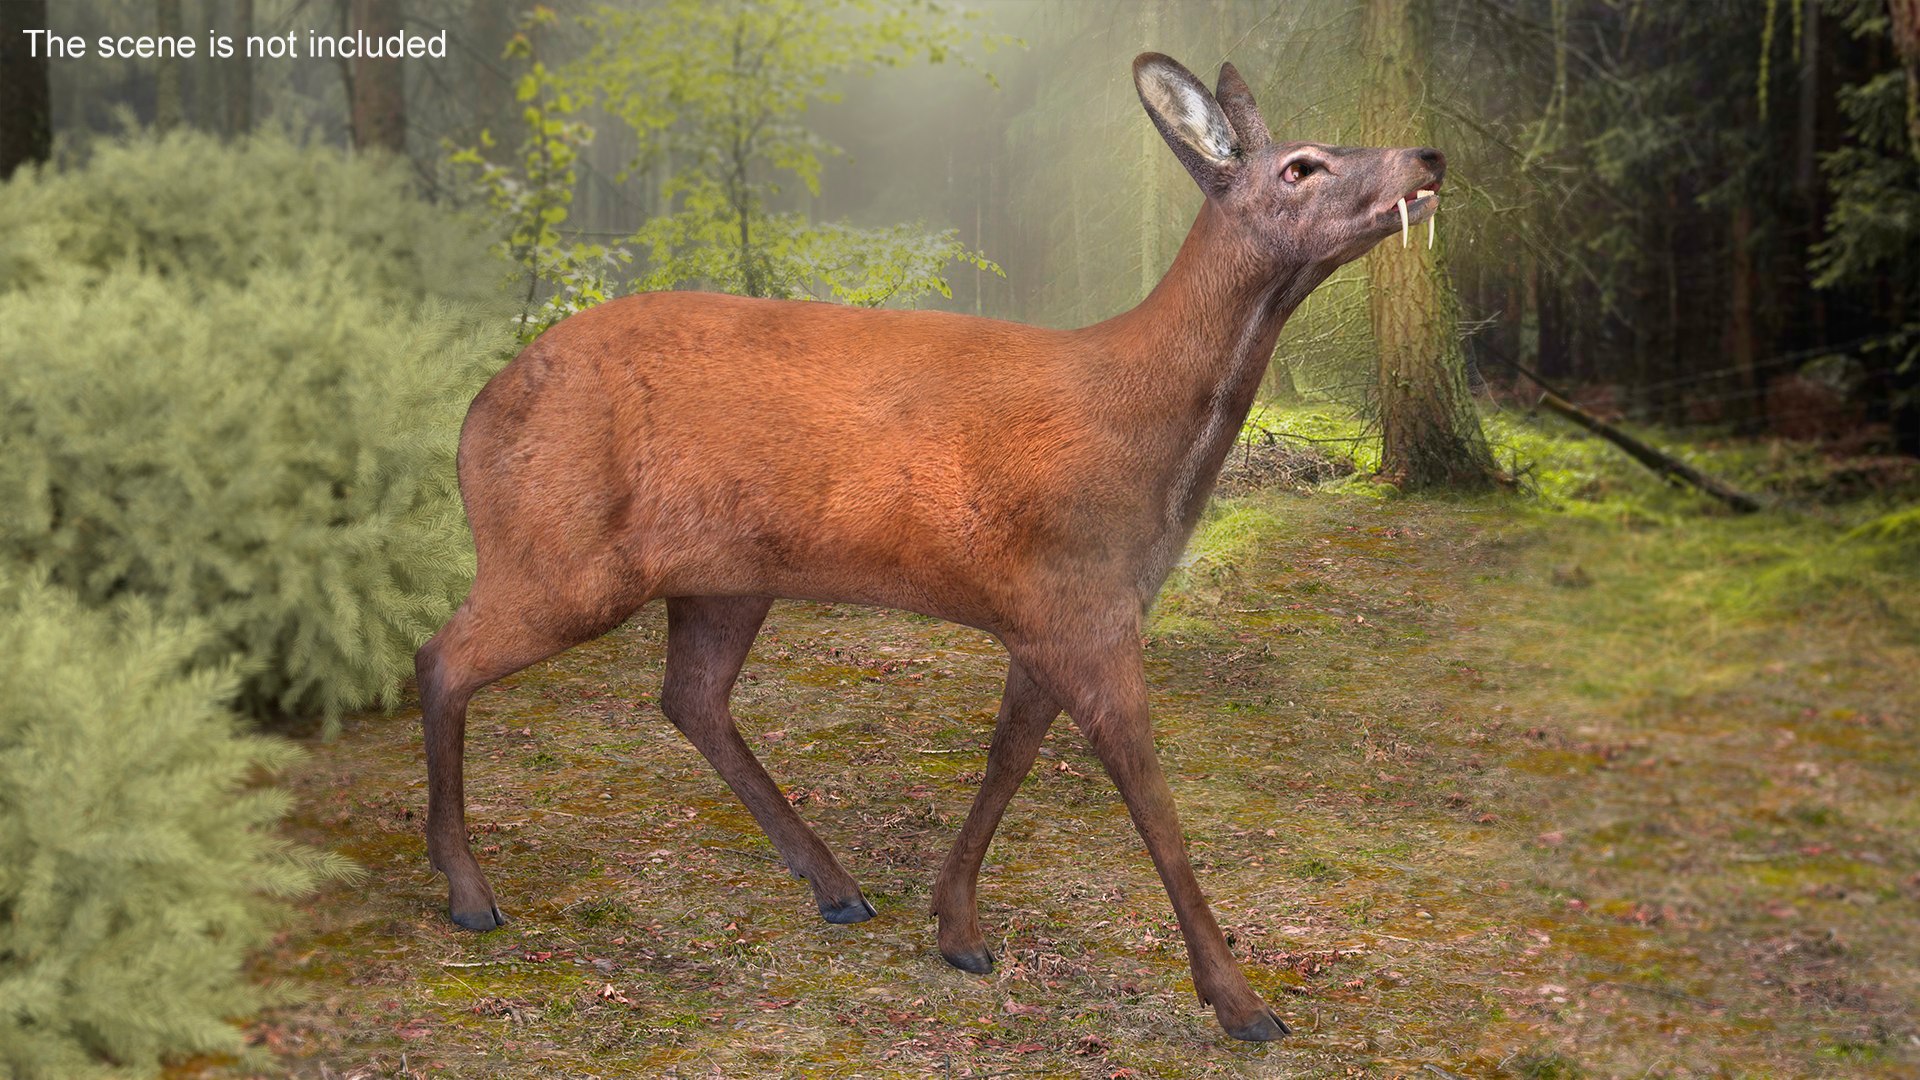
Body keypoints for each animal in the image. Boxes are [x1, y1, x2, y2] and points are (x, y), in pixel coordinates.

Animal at [415, 51, 1445, 1042]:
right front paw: (1242, 1006)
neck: (1144, 444)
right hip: (556, 548)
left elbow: (1008, 757)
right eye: (1301, 165)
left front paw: (958, 931)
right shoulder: (1083, 598)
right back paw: (469, 893)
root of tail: (471, 413)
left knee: (689, 696)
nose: (1427, 157)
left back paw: (834, 886)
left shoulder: (1046, 613)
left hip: (725, 576)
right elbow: (1152, 800)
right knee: (442, 655)